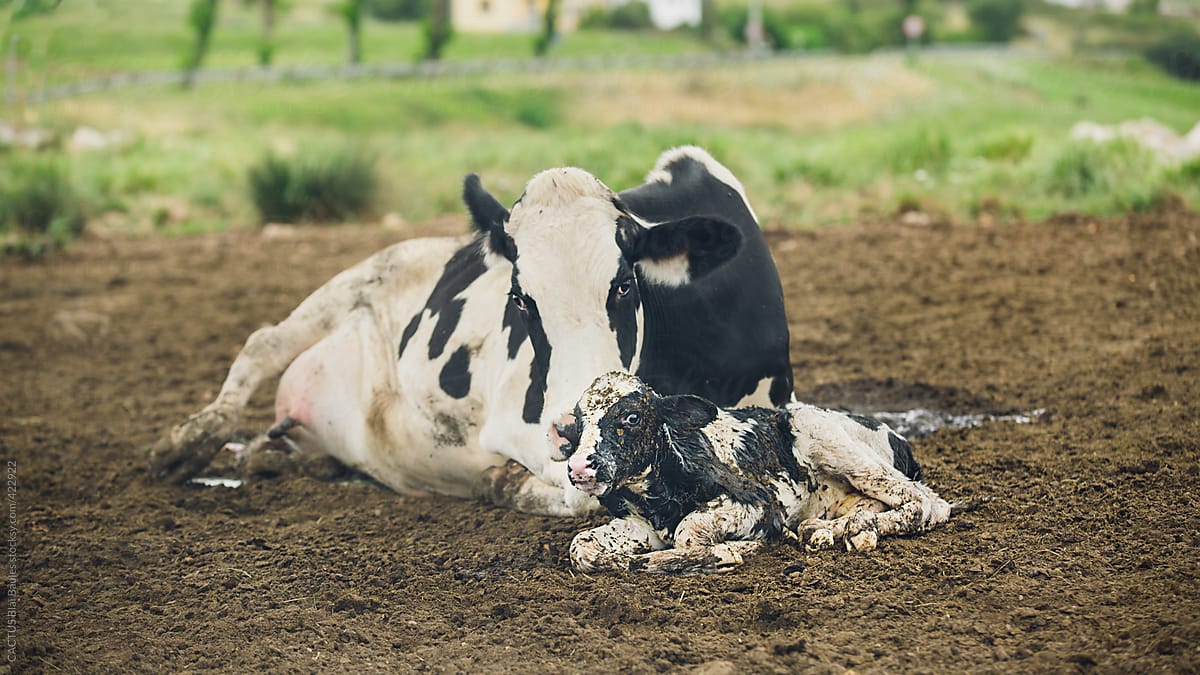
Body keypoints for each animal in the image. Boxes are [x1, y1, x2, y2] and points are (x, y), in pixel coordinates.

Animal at [148, 147, 793, 517]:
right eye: (520, 298)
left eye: (623, 287)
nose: (570, 428)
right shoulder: (516, 419)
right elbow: (580, 493)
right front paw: (507, 484)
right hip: (359, 279)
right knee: (261, 346)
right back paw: (184, 444)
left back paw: (274, 460)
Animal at [563, 371, 953, 574]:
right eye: (579, 422)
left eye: (631, 417)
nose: (579, 466)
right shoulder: (638, 523)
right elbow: (581, 547)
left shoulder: (761, 502)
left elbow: (690, 533)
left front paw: (730, 552)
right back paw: (826, 530)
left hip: (826, 437)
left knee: (925, 503)